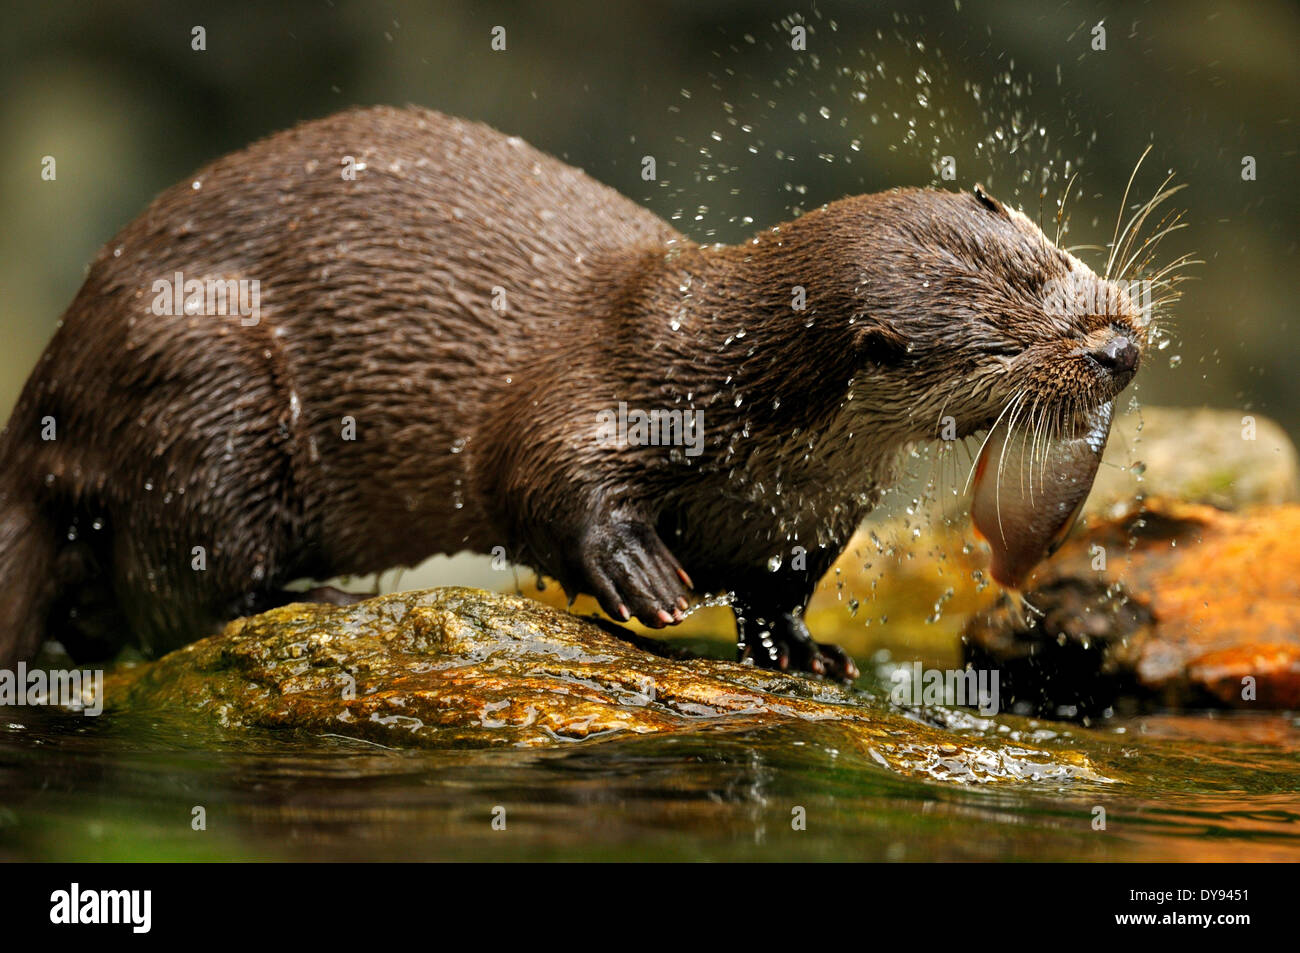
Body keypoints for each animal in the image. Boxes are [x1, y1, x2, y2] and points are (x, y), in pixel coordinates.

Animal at [0, 106, 1144, 679]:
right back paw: (311, 596)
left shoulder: (813, 513)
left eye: (1051, 260)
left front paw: (803, 650)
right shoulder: (601, 380)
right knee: (176, 587)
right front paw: (642, 574)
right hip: (209, 381)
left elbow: (781, 587)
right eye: (1000, 342)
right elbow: (528, 468)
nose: (1116, 346)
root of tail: (42, 402)